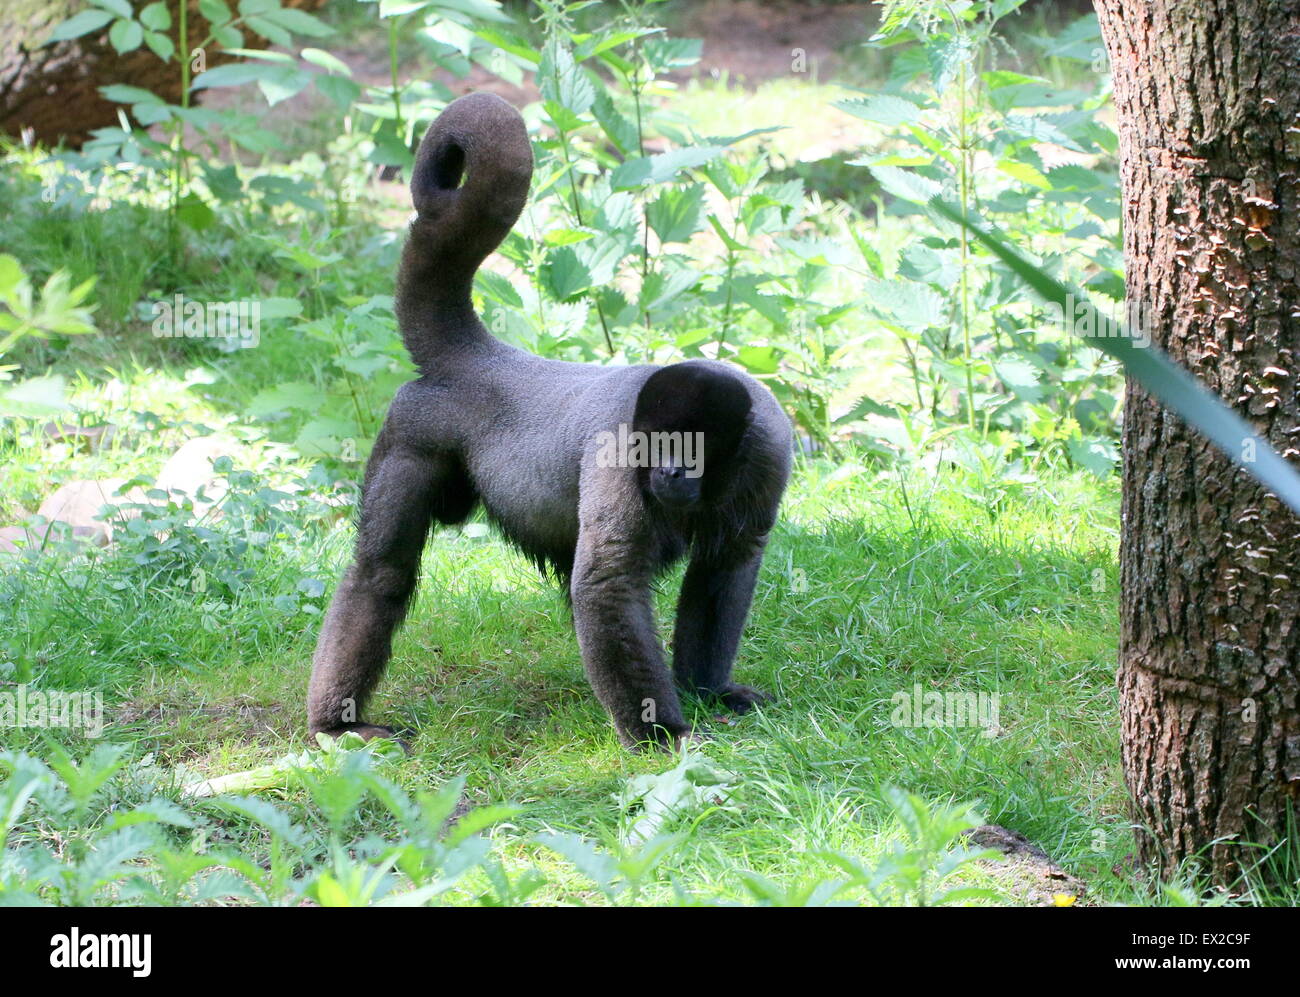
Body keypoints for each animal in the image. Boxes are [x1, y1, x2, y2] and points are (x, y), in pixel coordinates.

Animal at [307, 92, 792, 750]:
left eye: (691, 448)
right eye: (657, 446)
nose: (668, 474)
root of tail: (481, 354)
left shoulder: (769, 452)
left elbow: (726, 565)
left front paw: (710, 690)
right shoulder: (618, 451)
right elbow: (607, 585)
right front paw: (661, 734)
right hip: (414, 426)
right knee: (382, 572)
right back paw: (335, 721)